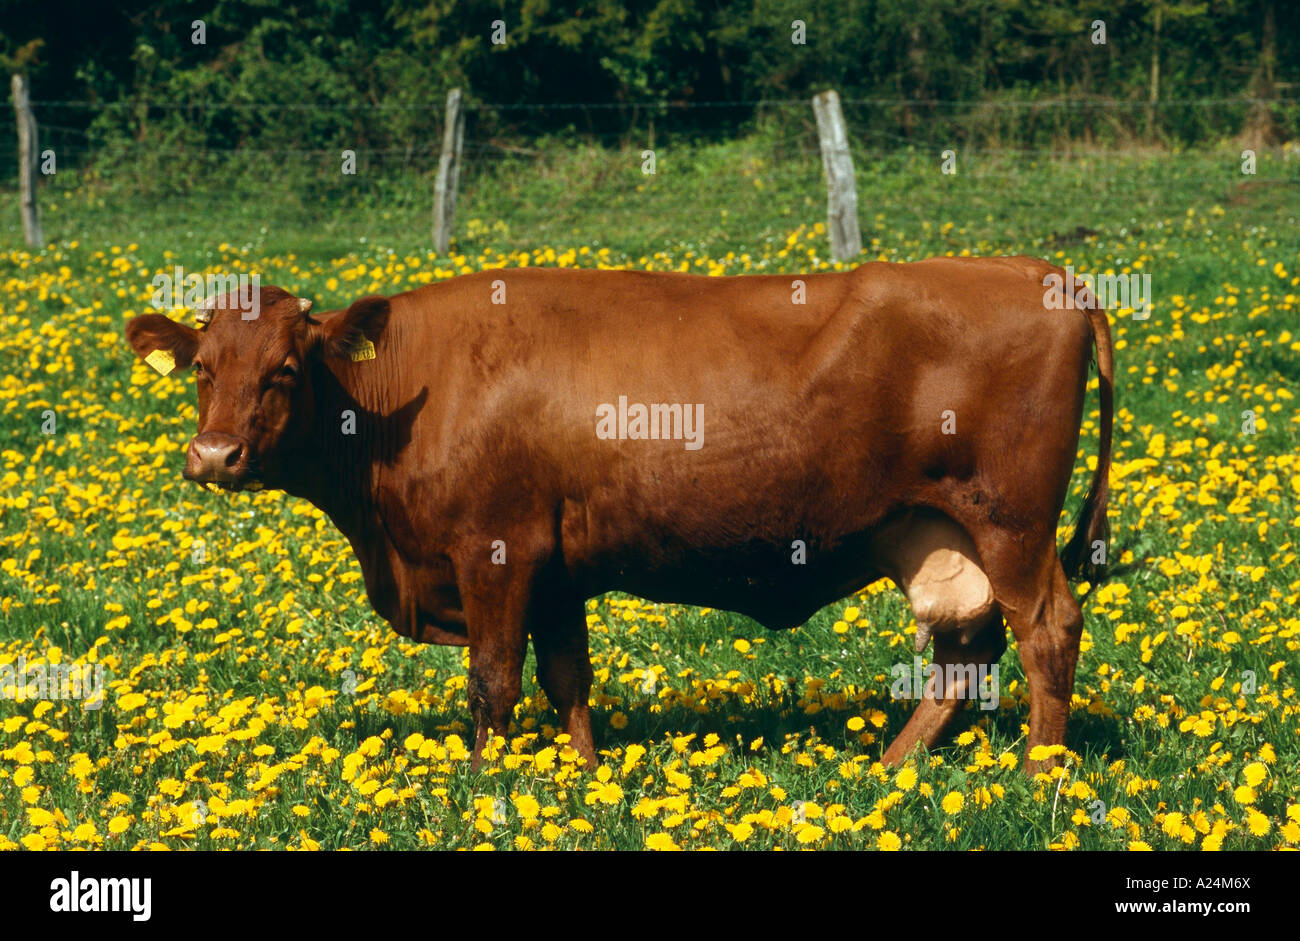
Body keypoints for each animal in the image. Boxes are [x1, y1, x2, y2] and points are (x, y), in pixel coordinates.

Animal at [124, 257, 1113, 774]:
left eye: (285, 369)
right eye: (203, 366)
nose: (214, 456)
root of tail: (1039, 269)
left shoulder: (495, 549)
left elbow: (493, 681)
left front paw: (481, 788)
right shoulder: (555, 566)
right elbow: (568, 676)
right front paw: (587, 780)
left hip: (1012, 525)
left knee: (1045, 632)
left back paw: (1039, 774)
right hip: (937, 530)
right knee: (964, 652)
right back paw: (892, 771)